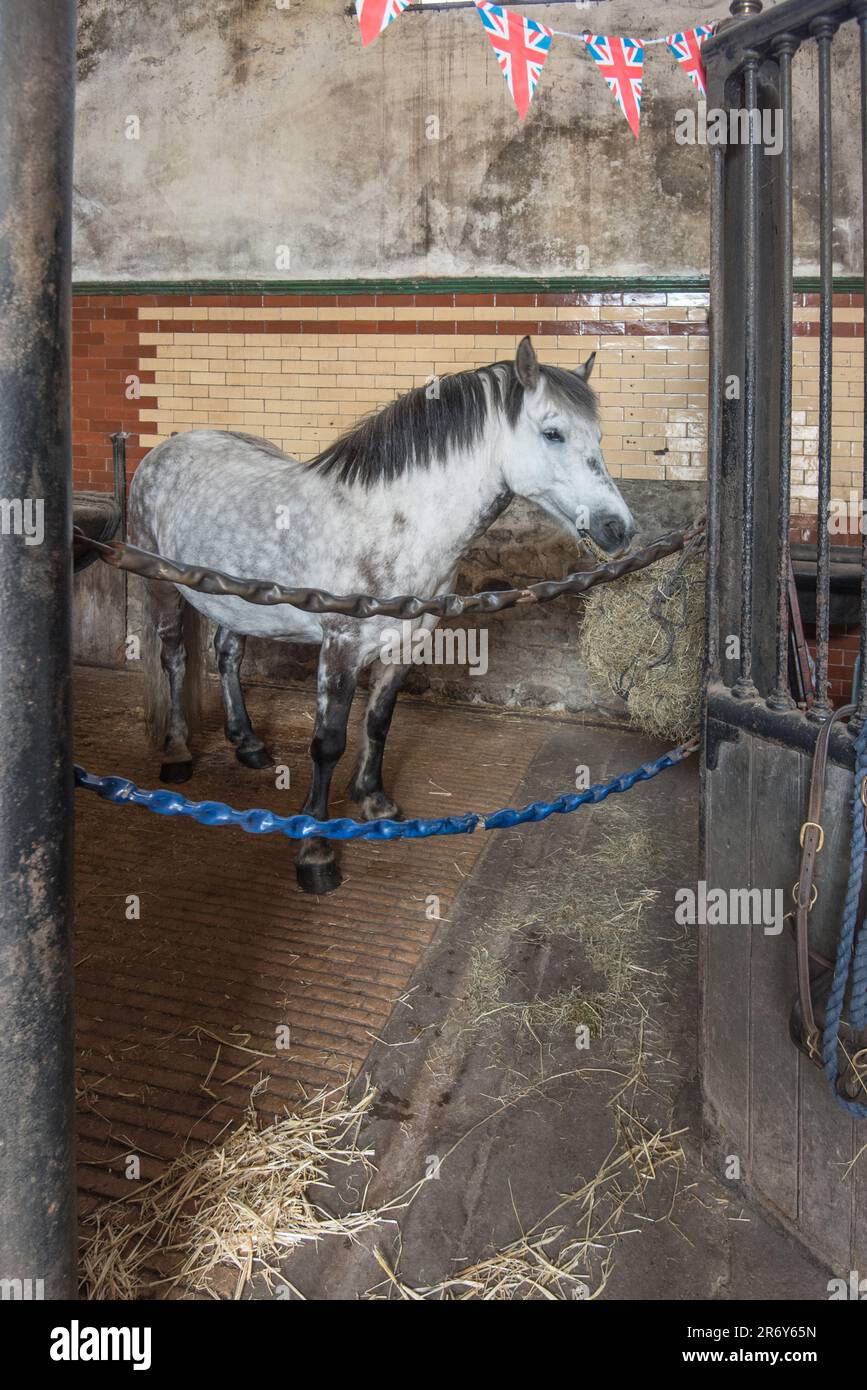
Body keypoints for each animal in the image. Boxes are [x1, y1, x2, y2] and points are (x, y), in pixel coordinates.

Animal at [127, 336, 636, 895]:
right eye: (553, 433)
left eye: (599, 436)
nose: (619, 528)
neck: (392, 524)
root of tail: (166, 447)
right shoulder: (341, 648)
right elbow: (328, 743)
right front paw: (315, 849)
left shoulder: (407, 643)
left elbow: (379, 721)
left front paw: (373, 801)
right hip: (162, 587)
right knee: (174, 657)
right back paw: (177, 753)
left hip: (234, 602)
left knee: (228, 655)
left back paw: (249, 745)